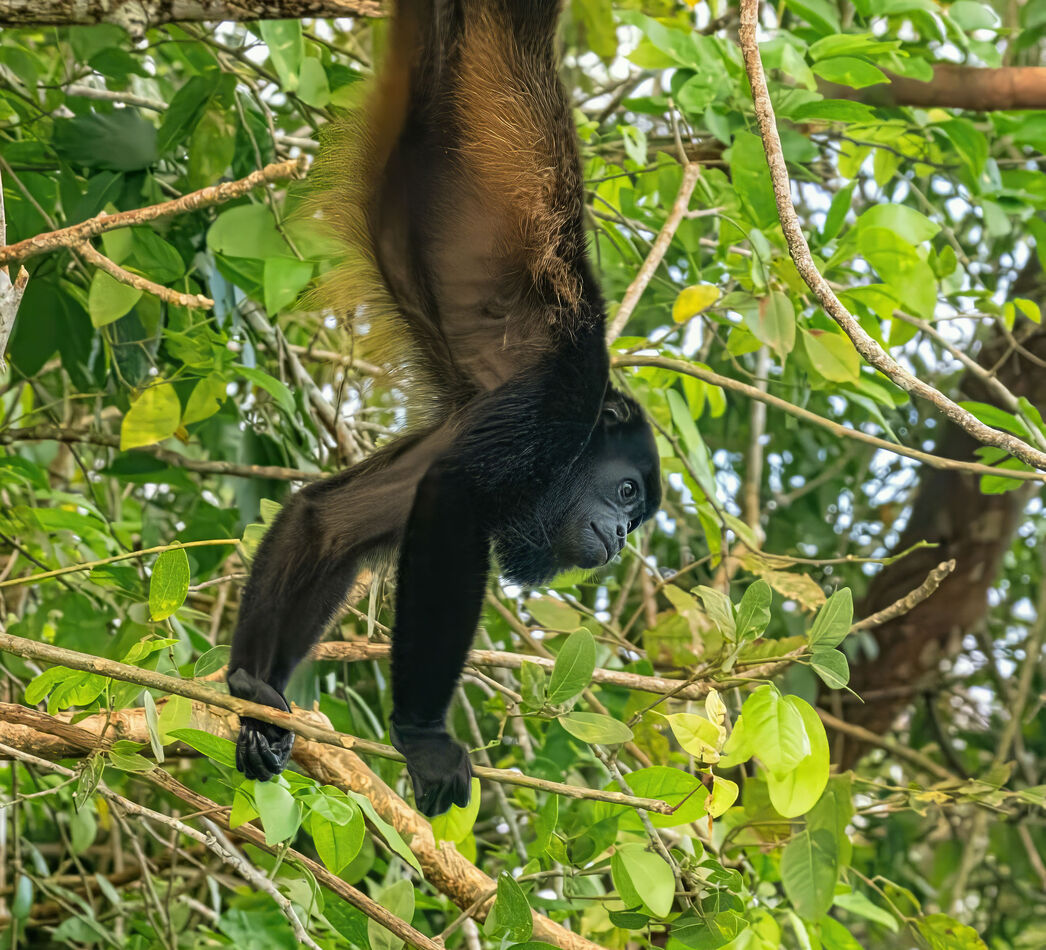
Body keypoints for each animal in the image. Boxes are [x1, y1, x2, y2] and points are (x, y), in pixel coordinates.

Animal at [226, 0, 662, 817]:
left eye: (636, 517)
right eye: (626, 493)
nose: (621, 538)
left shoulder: (476, 422)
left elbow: (327, 522)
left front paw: (253, 701)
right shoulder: (552, 409)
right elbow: (452, 505)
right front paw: (423, 735)